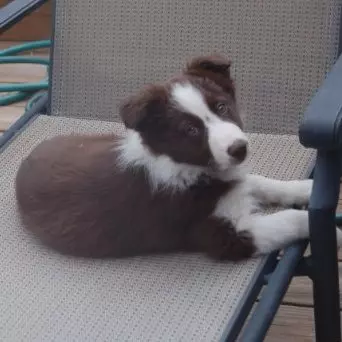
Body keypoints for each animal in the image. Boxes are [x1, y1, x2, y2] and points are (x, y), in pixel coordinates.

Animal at [14, 55, 342, 260]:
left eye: (222, 107)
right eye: (190, 129)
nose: (239, 149)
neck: (188, 166)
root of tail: (25, 161)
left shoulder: (234, 178)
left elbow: (259, 181)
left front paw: (304, 188)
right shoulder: (224, 236)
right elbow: (286, 220)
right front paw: (333, 232)